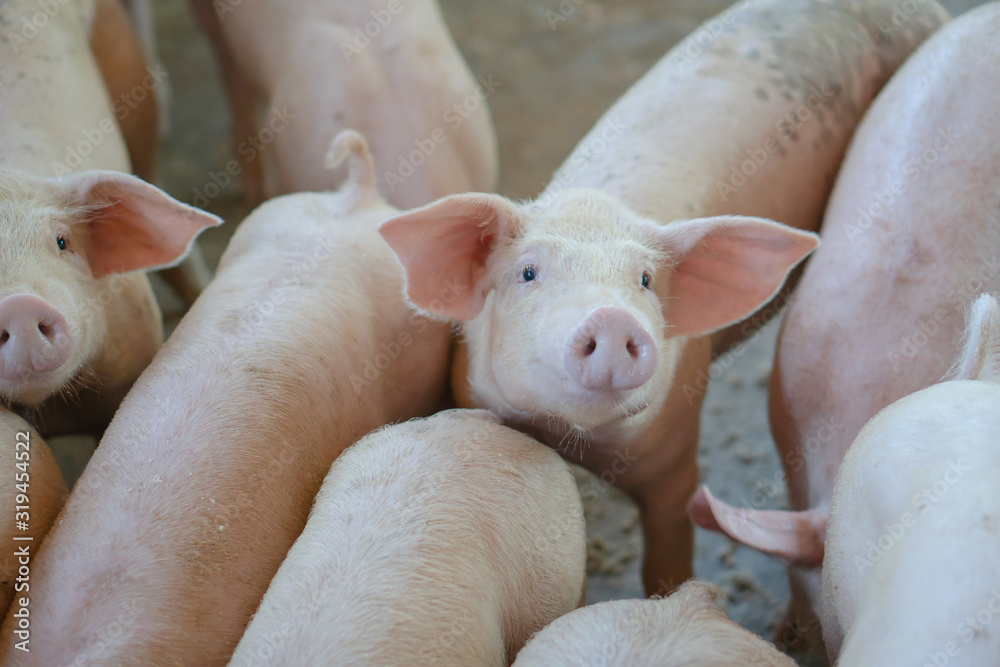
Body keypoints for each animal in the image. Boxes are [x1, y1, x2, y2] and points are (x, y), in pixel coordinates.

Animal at [379, 0, 949, 598]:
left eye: (647, 280)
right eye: (528, 273)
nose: (611, 317)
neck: (577, 442)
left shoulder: (677, 449)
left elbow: (669, 553)